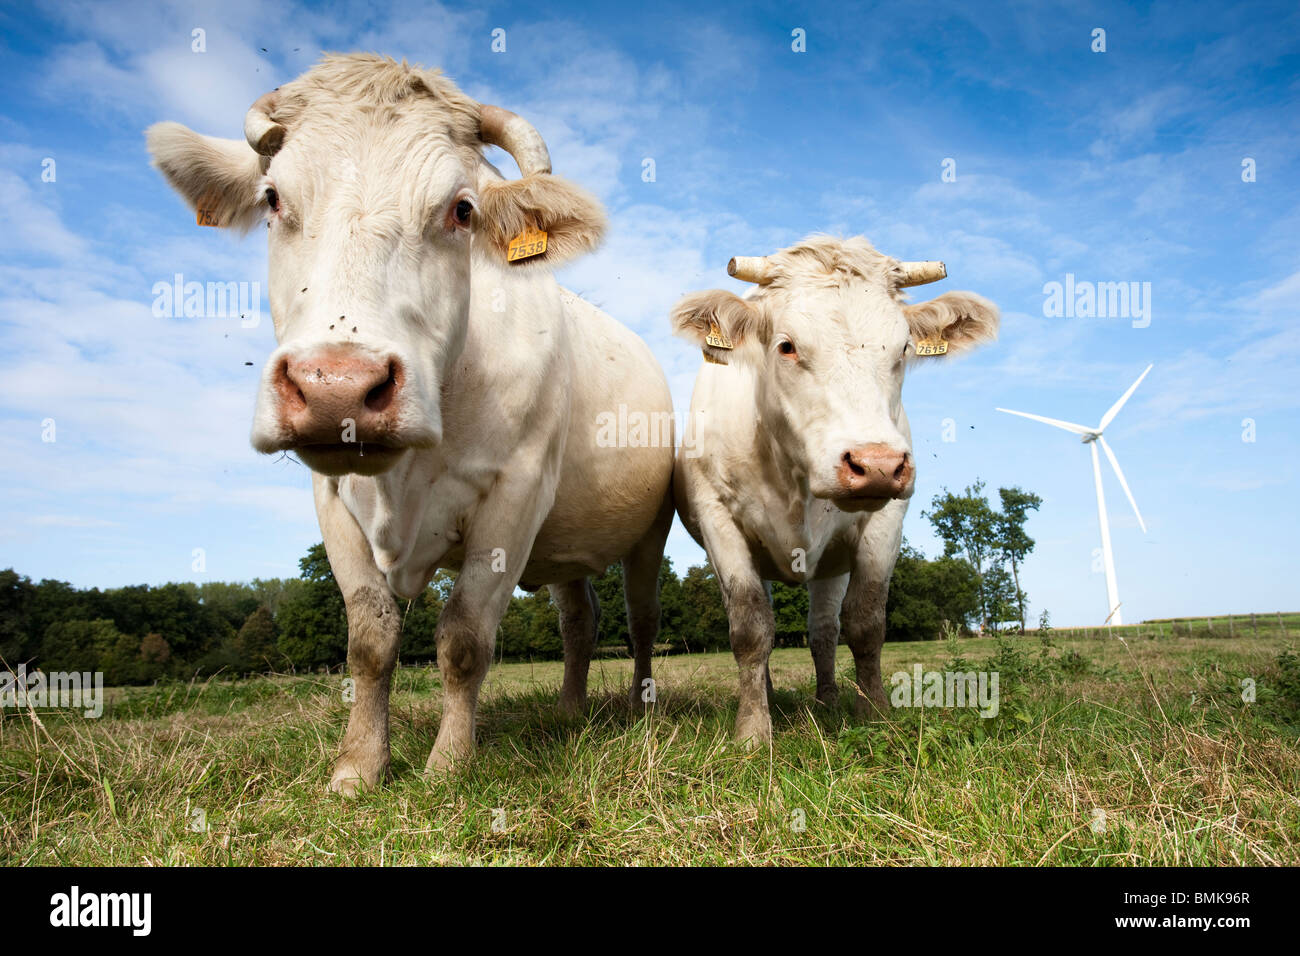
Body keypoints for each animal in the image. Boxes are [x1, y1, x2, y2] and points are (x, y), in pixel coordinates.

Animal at [148, 55, 676, 796]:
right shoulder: (331, 498)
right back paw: (570, 709)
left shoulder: (514, 497)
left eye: (463, 209)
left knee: (641, 619)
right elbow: (369, 641)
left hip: (649, 531)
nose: (336, 387)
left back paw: (640, 706)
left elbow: (464, 639)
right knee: (580, 620)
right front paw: (357, 768)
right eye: (274, 199)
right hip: (564, 542)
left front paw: (448, 765)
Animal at [670, 235, 993, 743]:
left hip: (831, 564)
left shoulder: (884, 522)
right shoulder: (718, 519)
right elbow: (750, 627)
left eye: (903, 348)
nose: (878, 465)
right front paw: (752, 730)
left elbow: (865, 623)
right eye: (786, 346)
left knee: (822, 632)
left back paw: (827, 701)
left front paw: (874, 712)